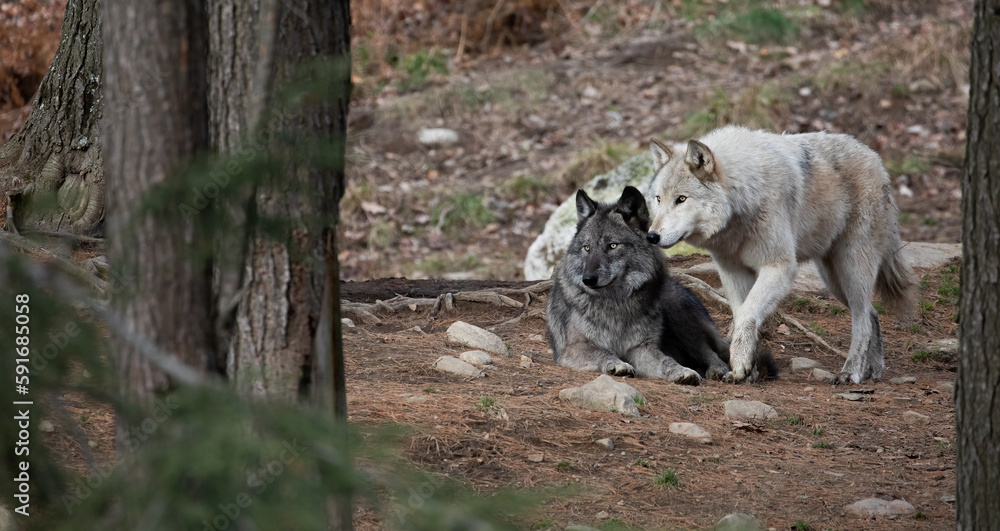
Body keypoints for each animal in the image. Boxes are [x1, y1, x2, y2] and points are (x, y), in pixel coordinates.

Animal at [546, 186, 732, 385]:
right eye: (587, 248)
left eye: (613, 246)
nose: (587, 279)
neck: (615, 303)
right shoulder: (573, 347)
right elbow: (603, 352)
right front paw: (618, 364)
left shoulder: (641, 348)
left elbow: (667, 360)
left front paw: (682, 371)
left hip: (680, 317)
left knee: (711, 353)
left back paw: (719, 370)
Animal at [645, 125, 917, 384]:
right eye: (658, 199)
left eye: (681, 199)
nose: (652, 236)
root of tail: (875, 158)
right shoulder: (732, 270)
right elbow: (740, 313)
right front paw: (748, 371)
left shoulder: (780, 267)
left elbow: (747, 314)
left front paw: (741, 363)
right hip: (833, 279)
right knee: (872, 313)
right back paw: (874, 370)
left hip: (851, 268)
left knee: (862, 321)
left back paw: (851, 373)